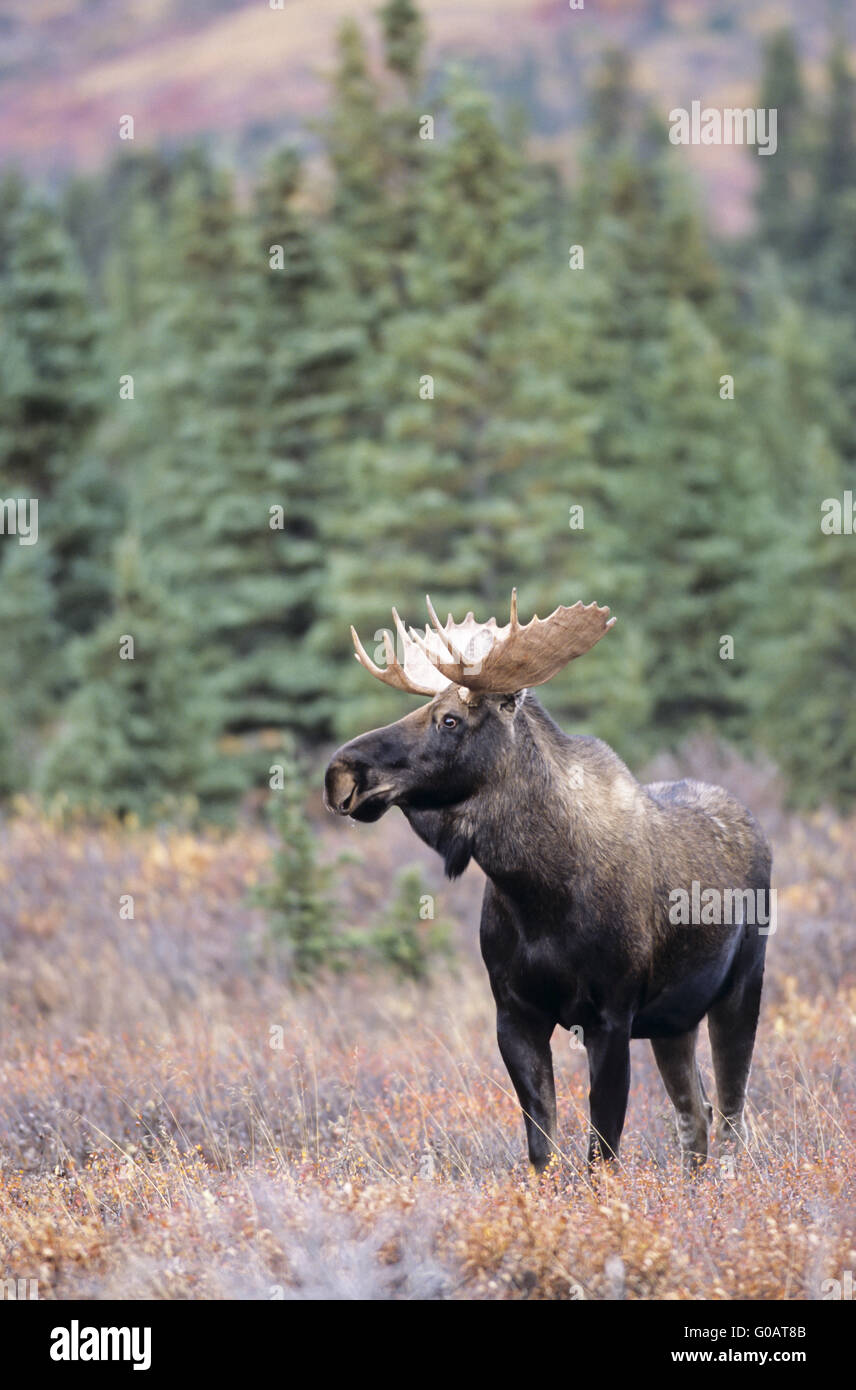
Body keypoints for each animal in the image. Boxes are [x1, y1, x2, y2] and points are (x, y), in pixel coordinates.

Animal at [324, 593, 772, 1173]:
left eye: (450, 719)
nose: (341, 773)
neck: (538, 890)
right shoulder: (515, 1014)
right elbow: (542, 1150)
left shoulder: (611, 1015)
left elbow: (601, 1151)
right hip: (675, 1020)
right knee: (695, 1118)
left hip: (742, 986)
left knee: (732, 1116)